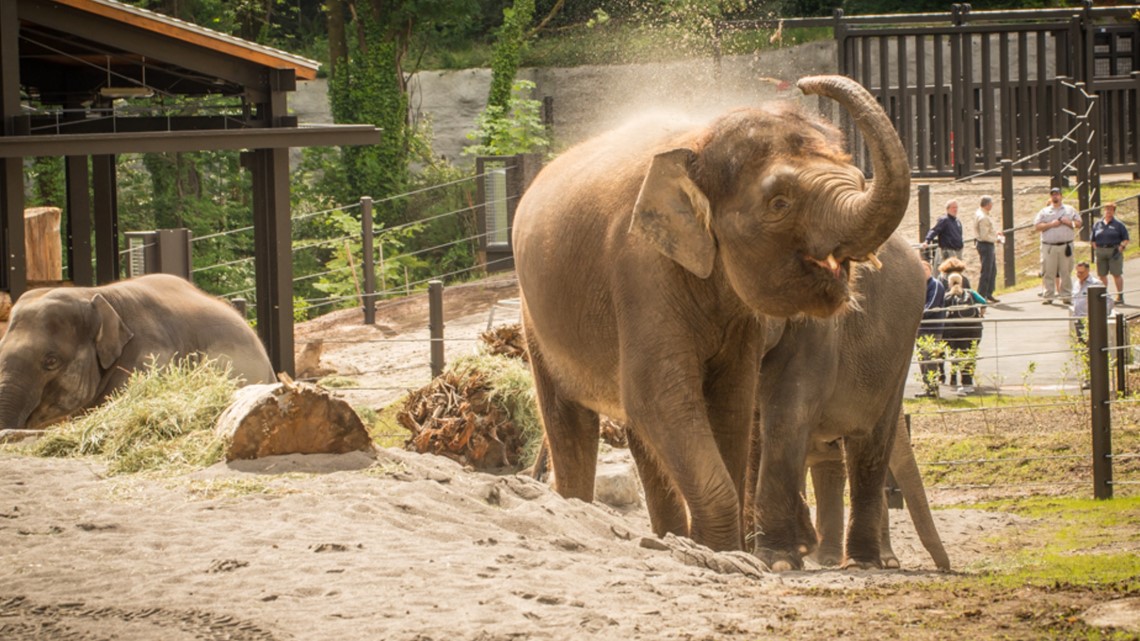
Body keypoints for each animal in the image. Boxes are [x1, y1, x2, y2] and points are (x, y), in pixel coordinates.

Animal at [512, 75, 911, 552]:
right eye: (779, 203)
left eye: (855, 177)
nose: (805, 83)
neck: (695, 145)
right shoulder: (640, 273)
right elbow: (658, 397)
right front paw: (719, 550)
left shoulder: (740, 319)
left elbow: (731, 402)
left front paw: (722, 550)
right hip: (534, 319)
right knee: (569, 422)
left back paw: (669, 539)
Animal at [748, 233, 949, 570]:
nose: (944, 568)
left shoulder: (820, 329)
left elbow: (789, 417)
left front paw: (782, 559)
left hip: (898, 351)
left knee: (870, 445)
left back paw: (862, 563)